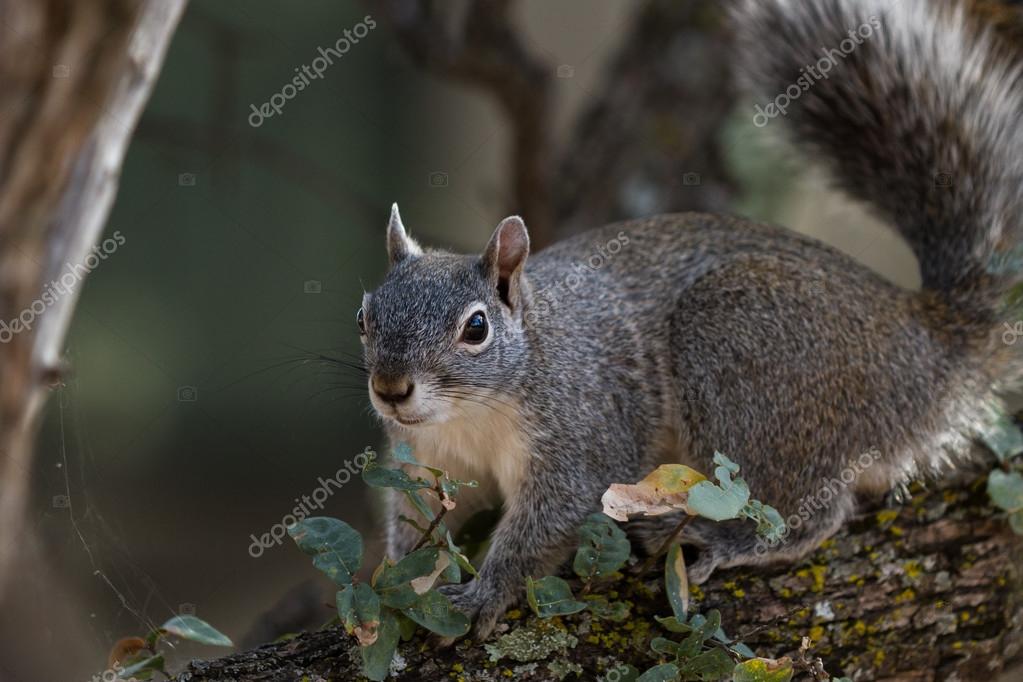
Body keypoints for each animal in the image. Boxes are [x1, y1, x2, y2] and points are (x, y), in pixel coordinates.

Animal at [357, 0, 1023, 639]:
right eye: (364, 316)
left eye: (476, 328)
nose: (390, 389)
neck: (474, 412)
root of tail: (926, 344)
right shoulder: (429, 464)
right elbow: (416, 529)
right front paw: (395, 589)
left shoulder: (585, 438)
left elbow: (548, 523)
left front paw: (483, 595)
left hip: (741, 354)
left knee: (807, 515)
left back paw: (716, 537)